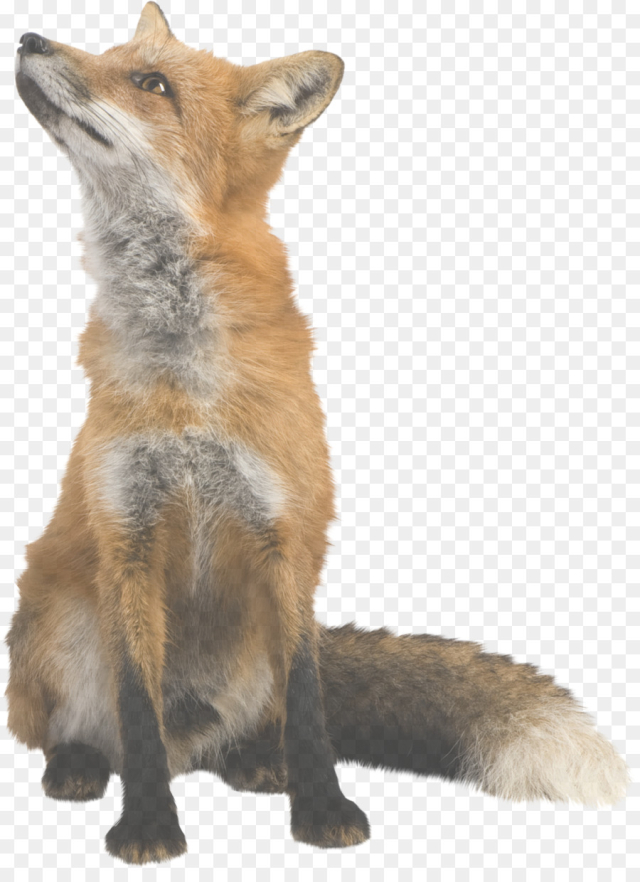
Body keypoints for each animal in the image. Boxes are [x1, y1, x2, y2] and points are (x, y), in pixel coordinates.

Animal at [8, 1, 629, 866]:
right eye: (108, 50)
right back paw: (80, 764)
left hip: (250, 654)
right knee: (98, 733)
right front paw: (149, 827)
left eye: (150, 81)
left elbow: (309, 701)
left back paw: (255, 762)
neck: (186, 380)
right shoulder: (126, 535)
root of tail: (196, 737)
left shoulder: (287, 536)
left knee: (248, 727)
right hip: (55, 623)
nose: (29, 37)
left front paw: (324, 811)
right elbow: (135, 705)